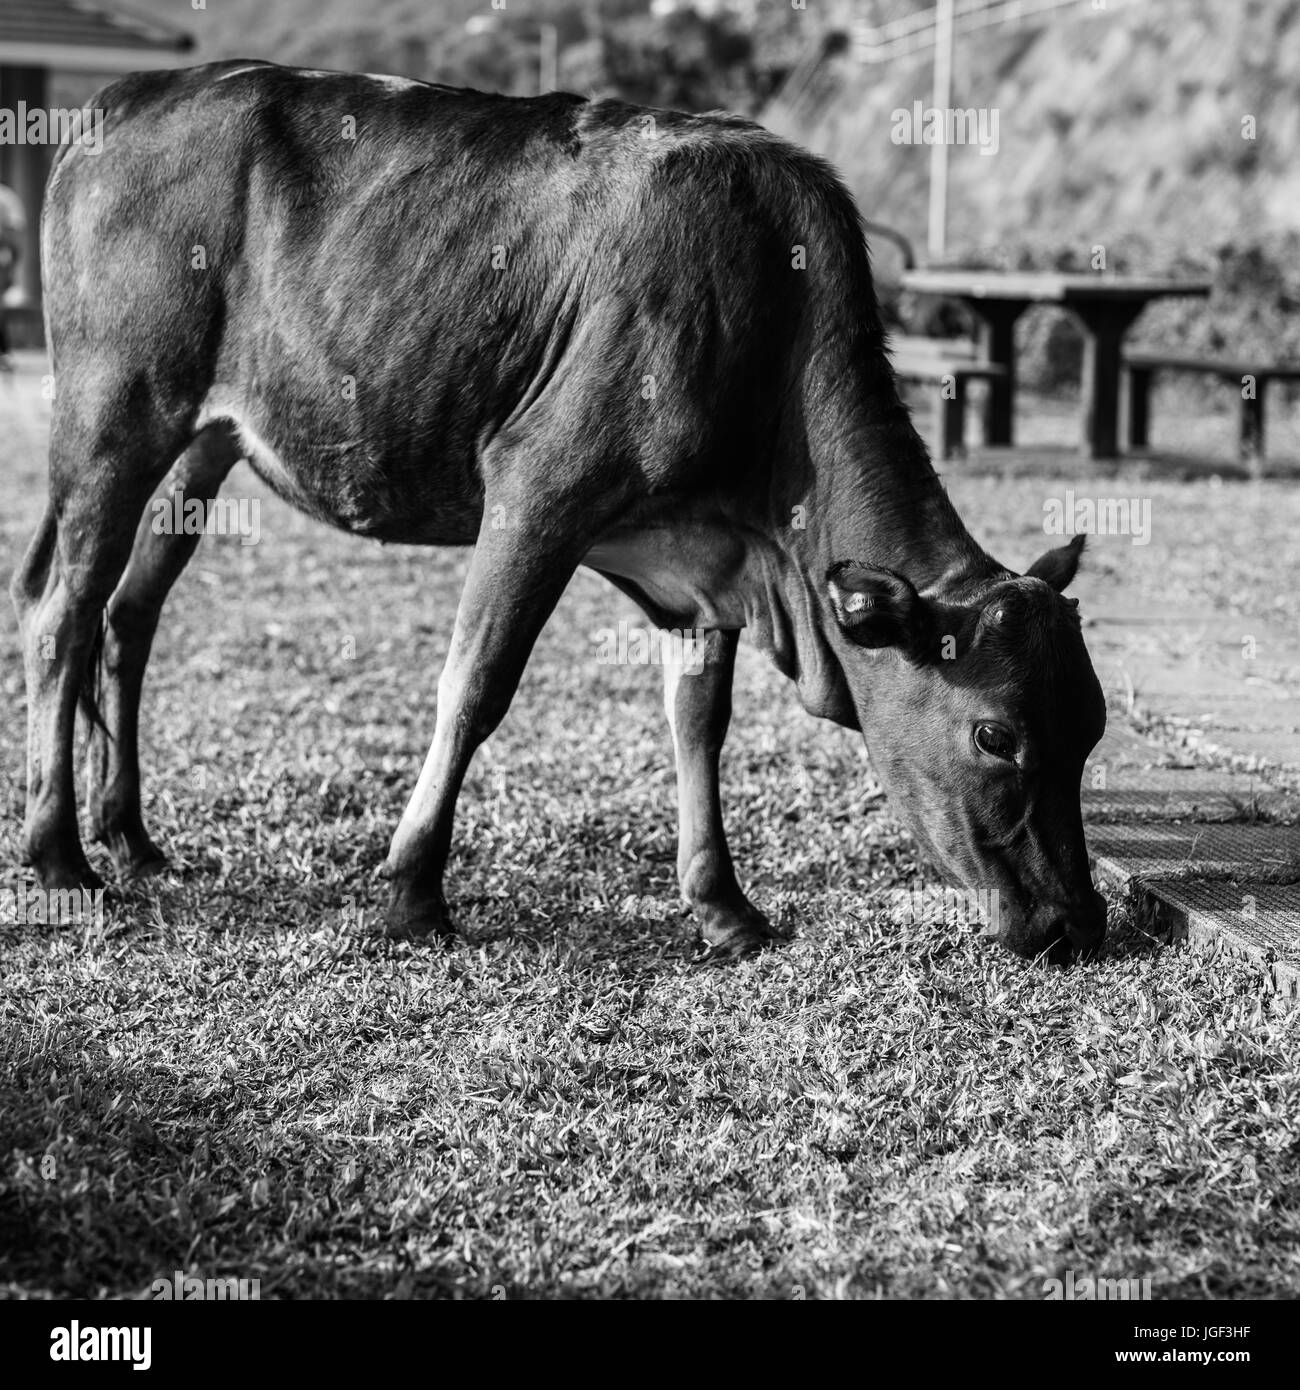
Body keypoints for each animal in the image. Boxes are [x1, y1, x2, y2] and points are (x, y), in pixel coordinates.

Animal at [11, 61, 1108, 964]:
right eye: (995, 737)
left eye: (1093, 731)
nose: (1075, 923)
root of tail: (128, 97)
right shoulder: (538, 489)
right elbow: (476, 686)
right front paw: (412, 892)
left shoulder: (698, 573)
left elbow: (698, 722)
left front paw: (723, 906)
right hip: (115, 410)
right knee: (59, 608)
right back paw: (61, 854)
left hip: (205, 444)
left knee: (127, 614)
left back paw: (132, 837)